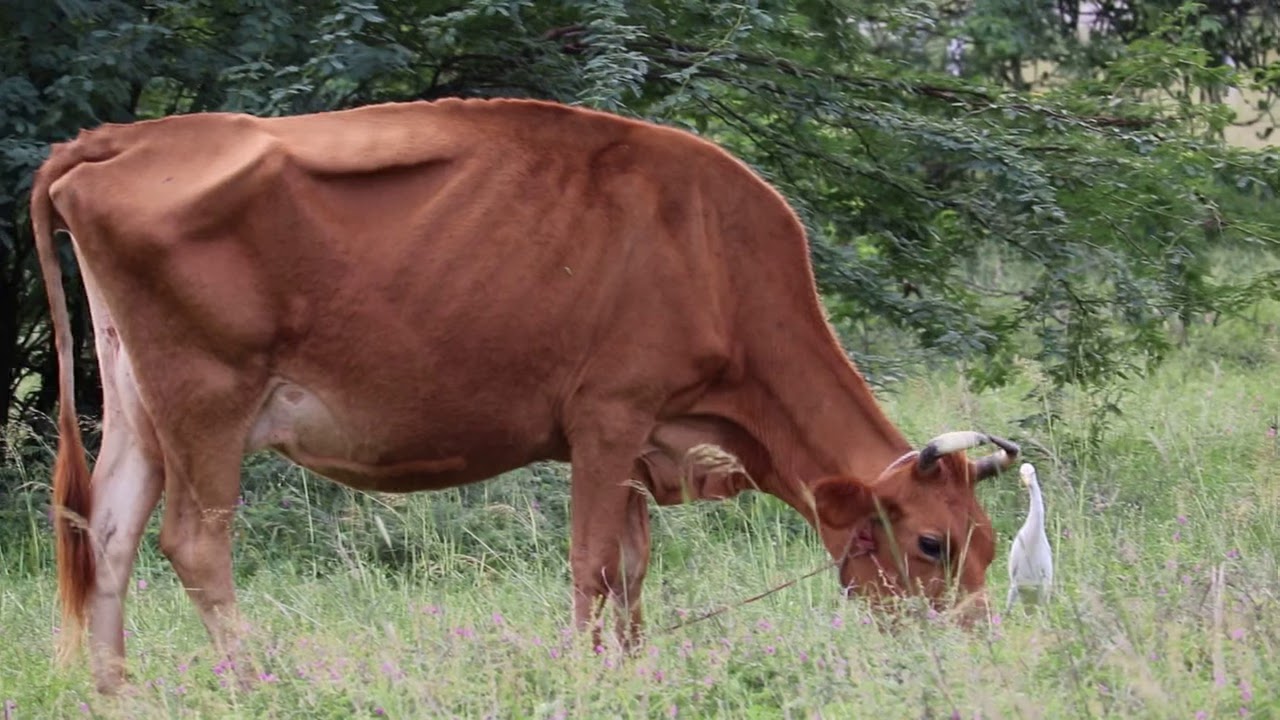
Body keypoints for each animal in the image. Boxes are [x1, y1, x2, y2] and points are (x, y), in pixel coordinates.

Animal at [31, 97, 1019, 693]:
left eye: (989, 543)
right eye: (930, 543)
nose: (976, 654)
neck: (714, 252)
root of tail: (128, 137)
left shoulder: (644, 445)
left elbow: (632, 570)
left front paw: (632, 673)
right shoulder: (609, 416)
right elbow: (591, 564)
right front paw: (586, 679)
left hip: (136, 405)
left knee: (107, 535)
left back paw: (116, 694)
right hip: (208, 398)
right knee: (194, 544)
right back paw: (257, 685)